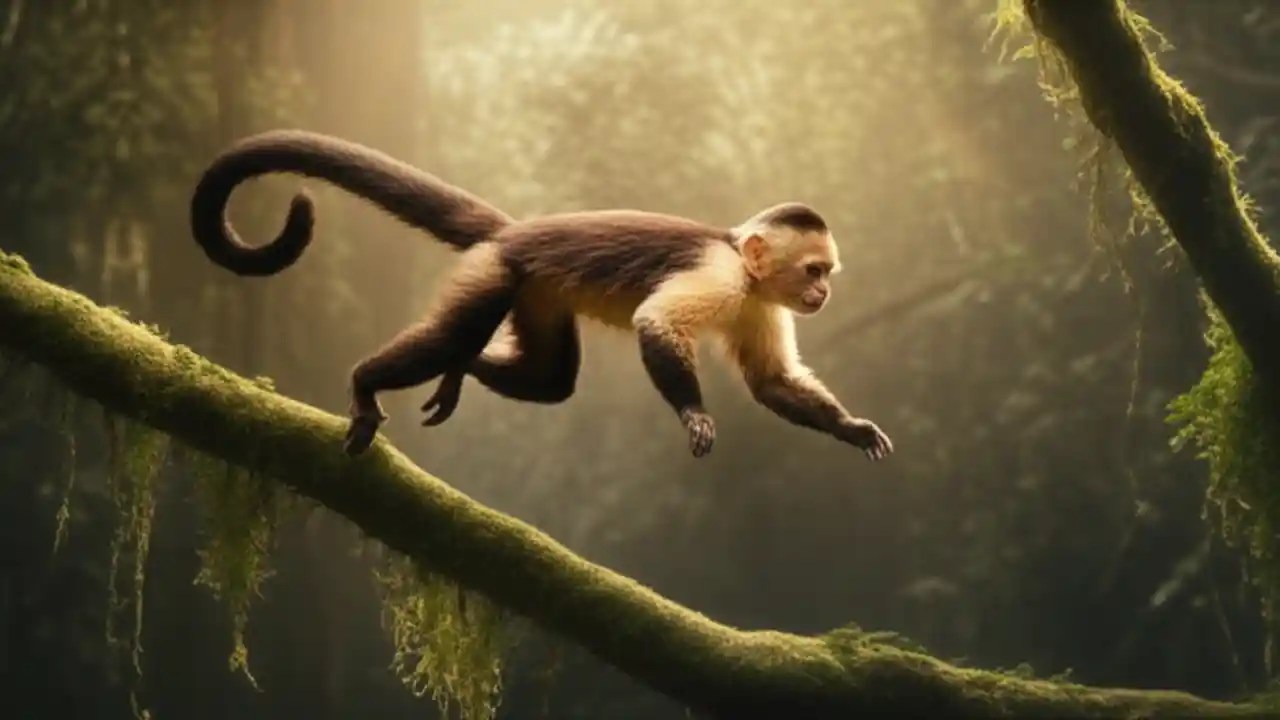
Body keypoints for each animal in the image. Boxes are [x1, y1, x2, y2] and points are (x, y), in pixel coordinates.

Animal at [190, 129, 894, 461]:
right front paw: (694, 414)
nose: (823, 293)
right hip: (494, 270)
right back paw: (368, 383)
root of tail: (514, 231)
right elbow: (656, 323)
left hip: (537, 294)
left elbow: (771, 381)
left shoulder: (759, 302)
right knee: (458, 331)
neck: (745, 272)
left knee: (552, 377)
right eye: (814, 270)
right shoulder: (720, 275)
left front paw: (852, 428)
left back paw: (462, 370)